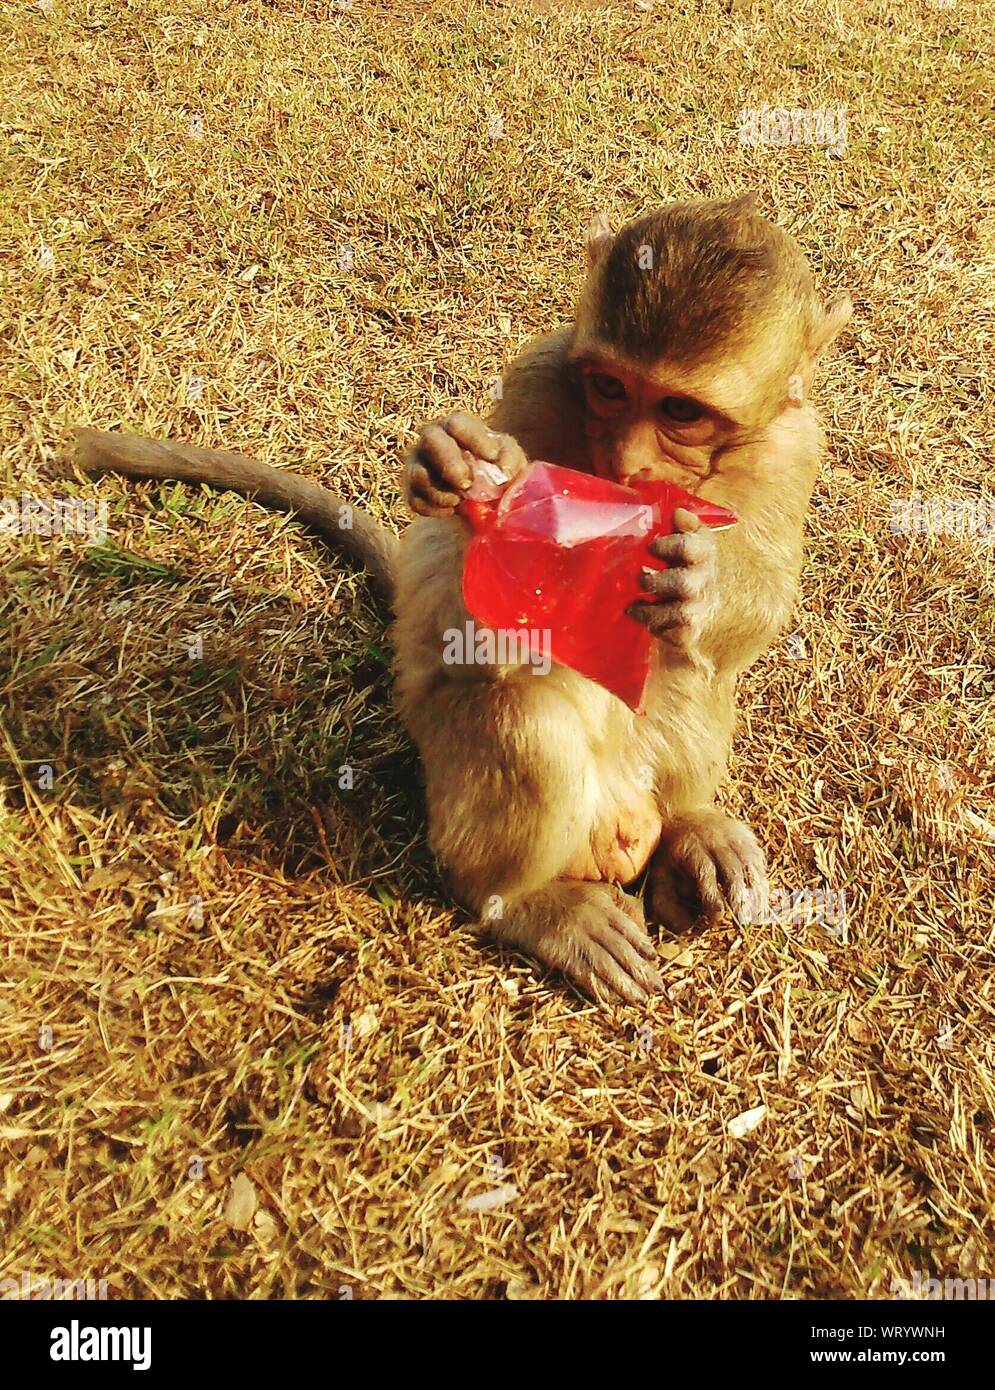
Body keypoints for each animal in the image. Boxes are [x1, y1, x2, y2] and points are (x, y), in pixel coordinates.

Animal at [78, 195, 851, 1006]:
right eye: (609, 388)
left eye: (681, 411)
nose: (631, 463)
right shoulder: (538, 377)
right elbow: (460, 613)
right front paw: (460, 471)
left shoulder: (795, 440)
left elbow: (764, 592)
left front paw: (698, 583)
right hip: (451, 777)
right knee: (517, 718)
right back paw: (525, 903)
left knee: (692, 670)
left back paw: (690, 831)